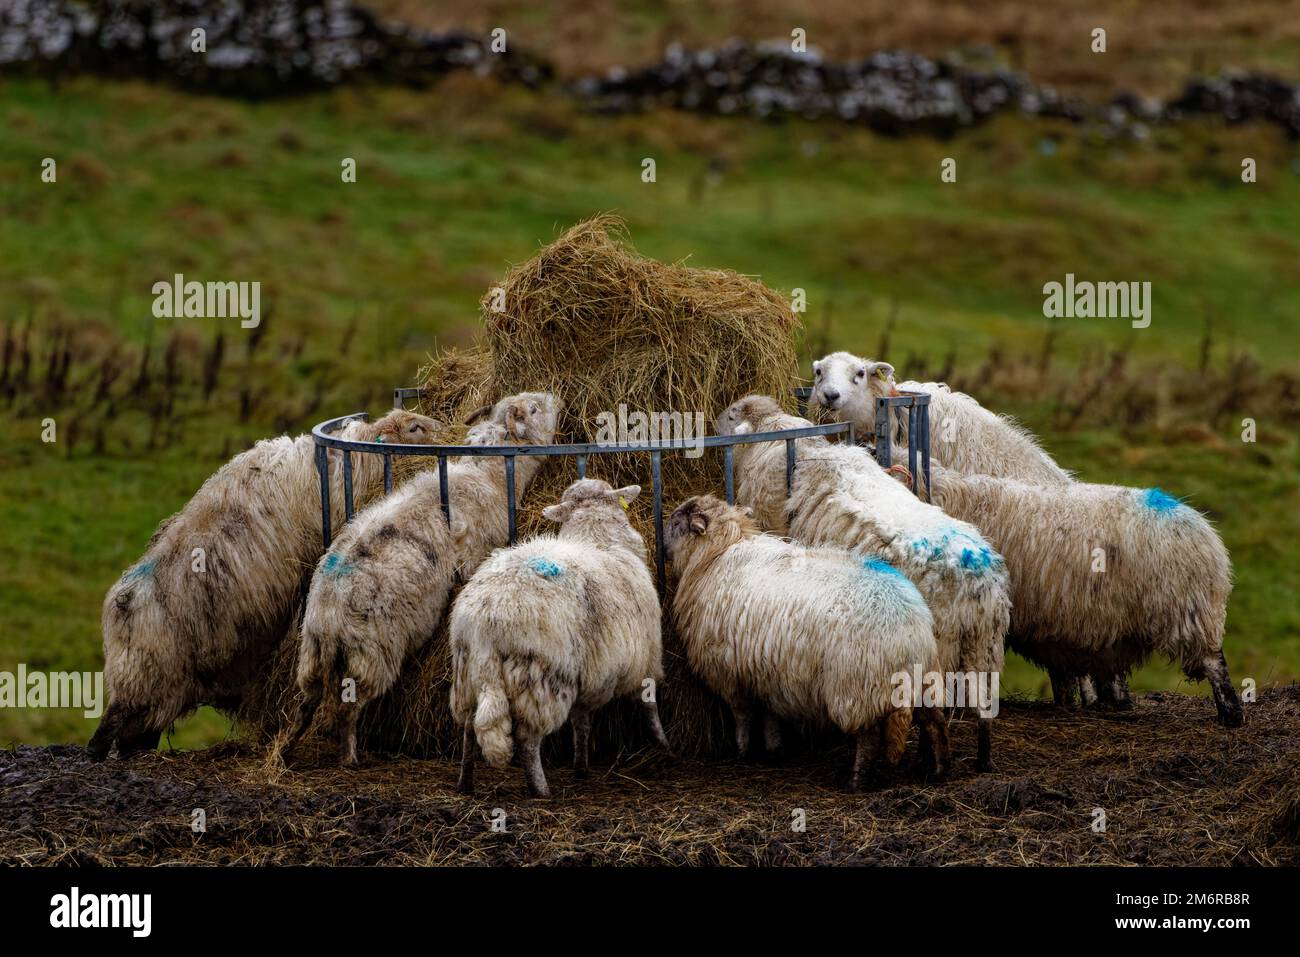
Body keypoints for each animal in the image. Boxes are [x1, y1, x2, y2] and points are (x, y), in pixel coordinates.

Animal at [89, 410, 442, 760]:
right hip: (144, 678)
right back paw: (96, 752)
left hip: (158, 690)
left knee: (135, 734)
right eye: (415, 428)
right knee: (111, 726)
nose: (446, 428)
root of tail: (120, 606)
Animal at [277, 393, 560, 767]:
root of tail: (327, 621)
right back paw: (349, 758)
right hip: (371, 657)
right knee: (348, 710)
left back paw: (286, 749)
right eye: (534, 409)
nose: (557, 398)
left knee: (304, 705)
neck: (489, 474)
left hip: (309, 658)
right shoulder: (475, 553)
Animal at [449, 479, 668, 797]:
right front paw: (663, 744)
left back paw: (465, 782)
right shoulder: (645, 657)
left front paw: (581, 766)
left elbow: (582, 721)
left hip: (467, 674)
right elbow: (646, 705)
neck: (598, 539)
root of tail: (484, 624)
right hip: (544, 677)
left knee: (467, 728)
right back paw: (540, 789)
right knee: (527, 738)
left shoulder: (590, 672)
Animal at [665, 494, 949, 790]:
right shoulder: (765, 672)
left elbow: (742, 715)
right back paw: (939, 769)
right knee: (935, 721)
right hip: (926, 679)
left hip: (856, 687)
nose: (663, 546)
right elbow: (770, 714)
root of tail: (908, 635)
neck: (718, 552)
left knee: (868, 736)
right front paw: (774, 749)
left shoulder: (728, 672)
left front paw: (742, 751)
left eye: (676, 522)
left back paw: (857, 780)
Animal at [719, 394, 1010, 771]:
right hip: (985, 647)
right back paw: (983, 760)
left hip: (942, 646)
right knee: (984, 705)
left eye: (730, 415)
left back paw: (924, 758)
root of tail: (979, 579)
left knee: (933, 707)